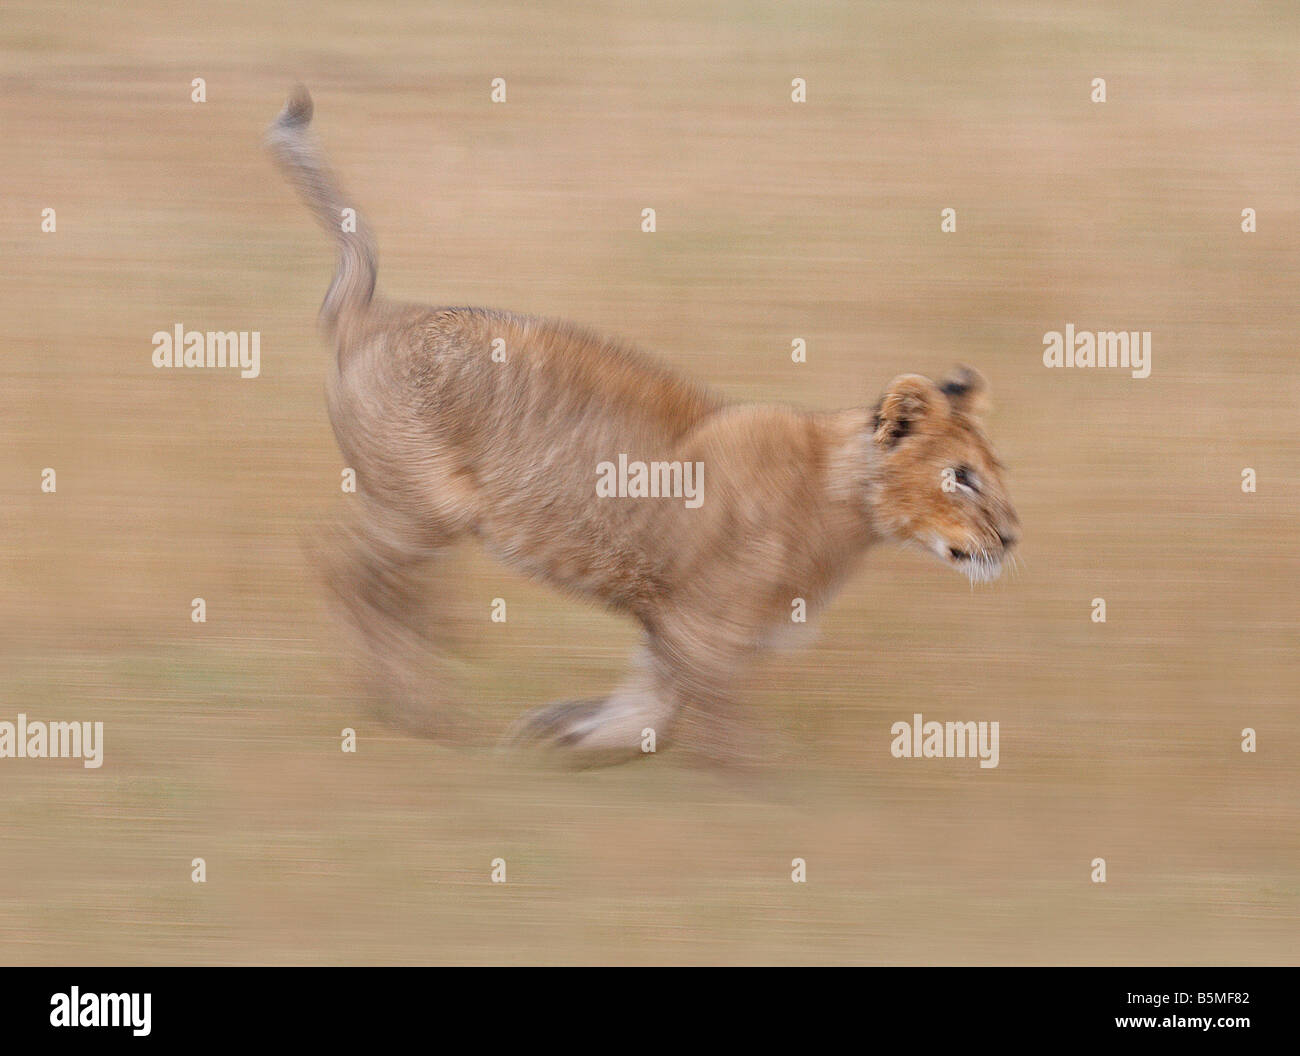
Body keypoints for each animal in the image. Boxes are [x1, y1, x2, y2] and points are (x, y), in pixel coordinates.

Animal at [266, 87, 1020, 760]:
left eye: (996, 474)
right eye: (961, 478)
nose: (1012, 538)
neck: (848, 507)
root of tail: (374, 314)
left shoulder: (670, 628)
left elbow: (639, 715)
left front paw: (553, 738)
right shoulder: (702, 628)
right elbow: (722, 738)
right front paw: (777, 799)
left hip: (420, 517)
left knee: (383, 583)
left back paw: (430, 666)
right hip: (421, 509)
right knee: (341, 566)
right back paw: (411, 707)